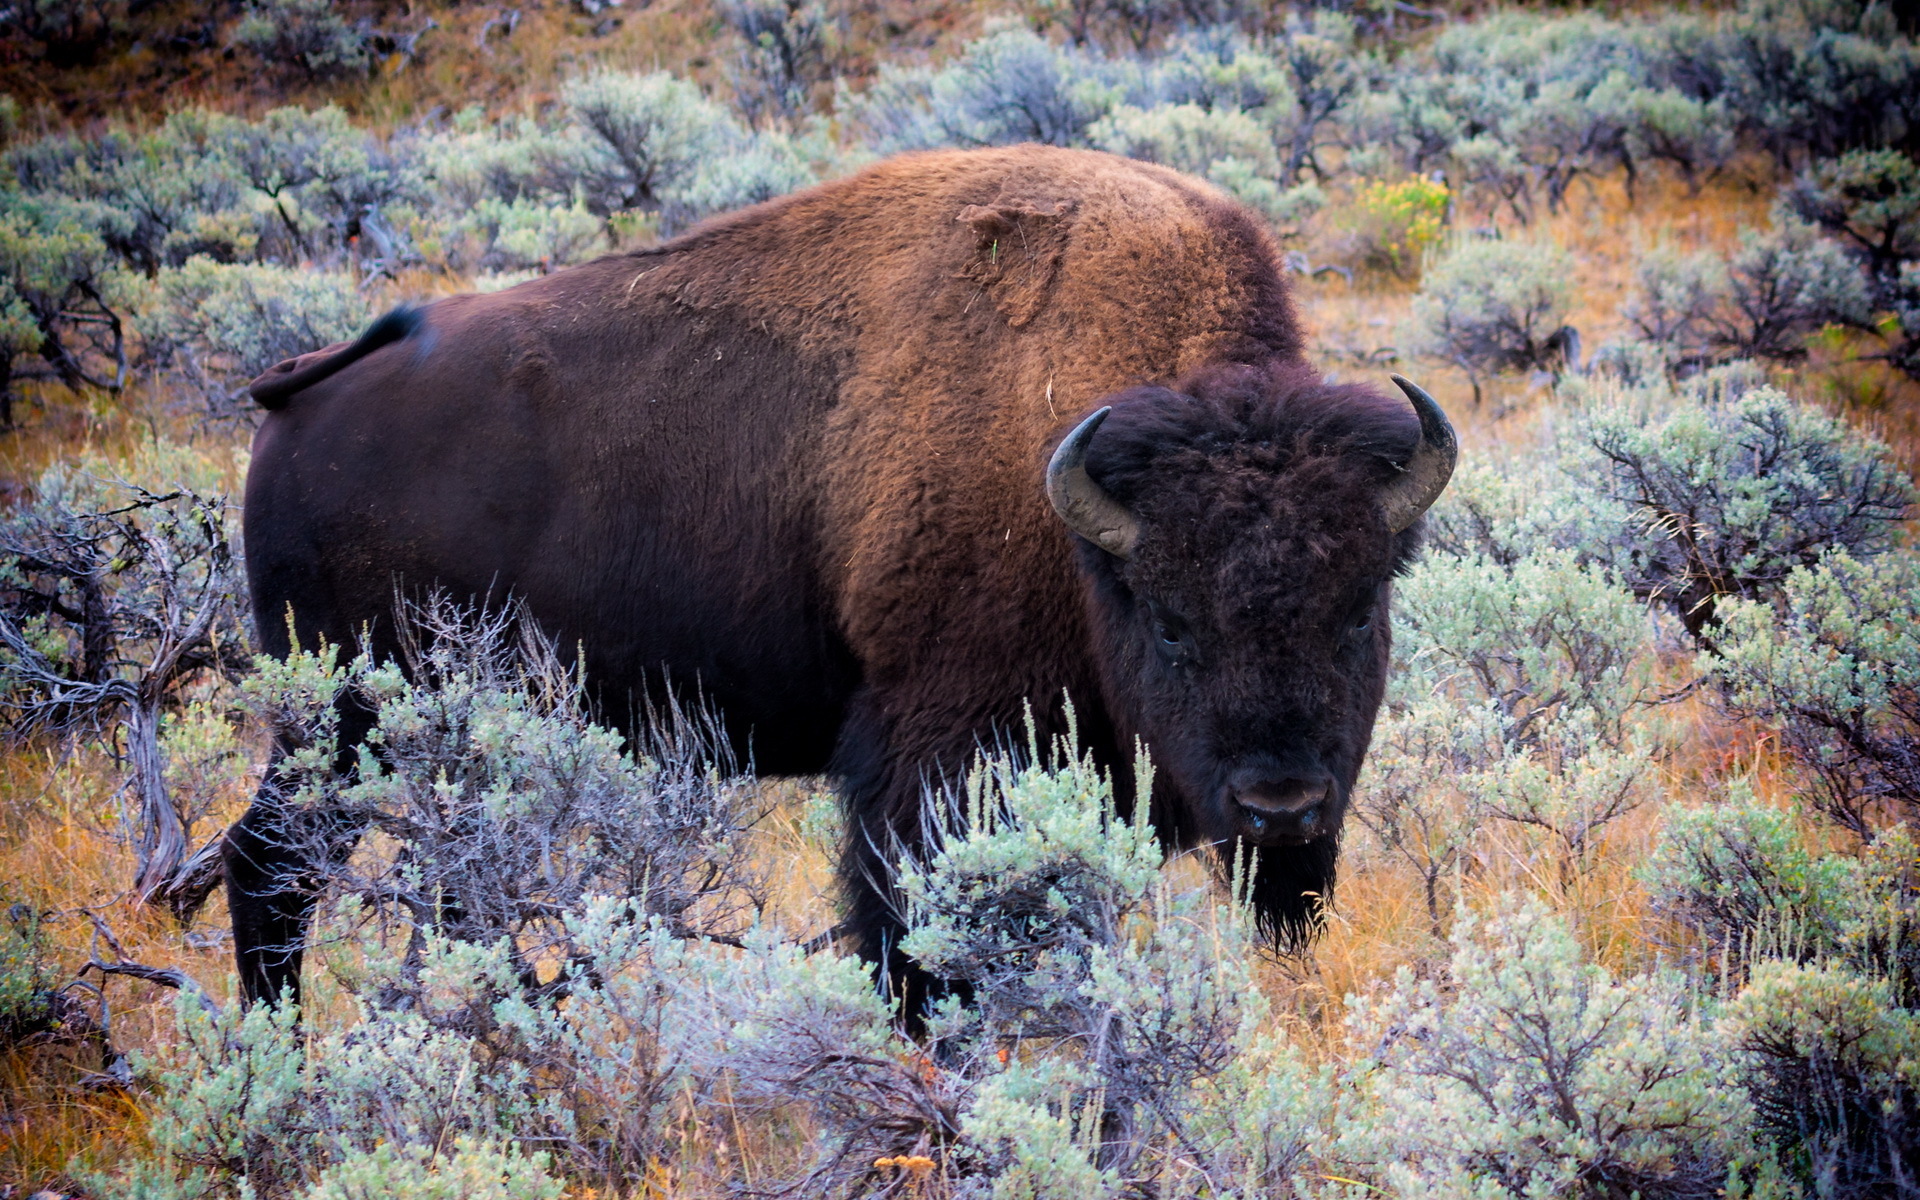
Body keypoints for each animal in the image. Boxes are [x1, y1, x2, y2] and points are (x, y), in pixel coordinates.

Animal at [226, 144, 1456, 1010]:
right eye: (1169, 625)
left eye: (1359, 612)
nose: (1279, 805)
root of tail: (303, 394)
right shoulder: (929, 757)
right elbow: (911, 943)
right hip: (346, 718)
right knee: (268, 865)